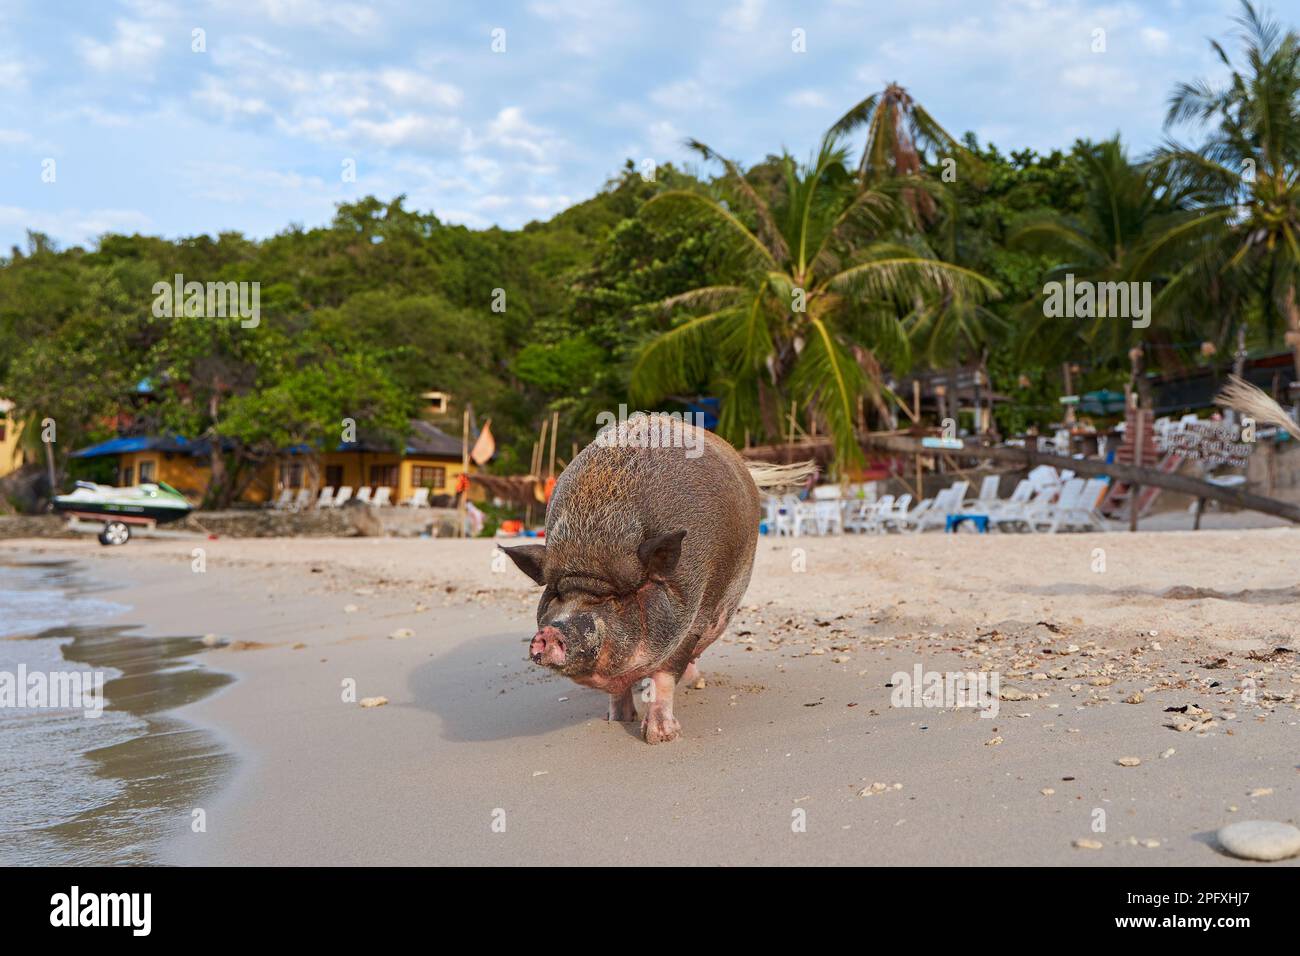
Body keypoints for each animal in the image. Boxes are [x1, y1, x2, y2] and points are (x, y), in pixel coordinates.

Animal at [505, 412, 811, 744]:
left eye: (616, 597)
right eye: (557, 592)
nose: (551, 632)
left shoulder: (690, 620)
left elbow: (666, 674)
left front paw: (661, 737)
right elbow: (619, 687)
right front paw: (616, 719)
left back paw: (694, 683)